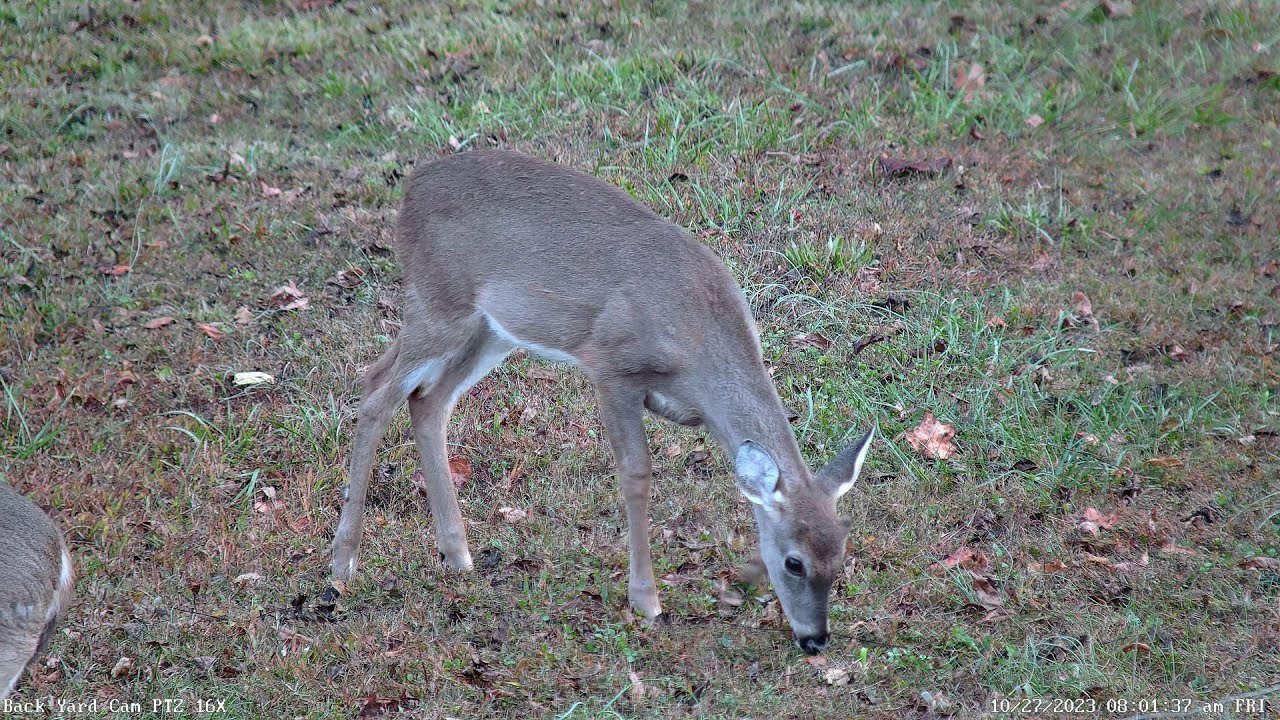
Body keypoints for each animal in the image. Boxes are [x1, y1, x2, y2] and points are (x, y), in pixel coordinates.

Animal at [330, 150, 874, 655]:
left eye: (841, 554)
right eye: (794, 562)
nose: (816, 640)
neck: (698, 341)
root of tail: (411, 187)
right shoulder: (612, 367)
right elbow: (636, 474)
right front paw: (647, 601)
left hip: (489, 329)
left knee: (426, 400)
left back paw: (456, 555)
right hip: (439, 303)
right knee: (375, 390)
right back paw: (342, 562)